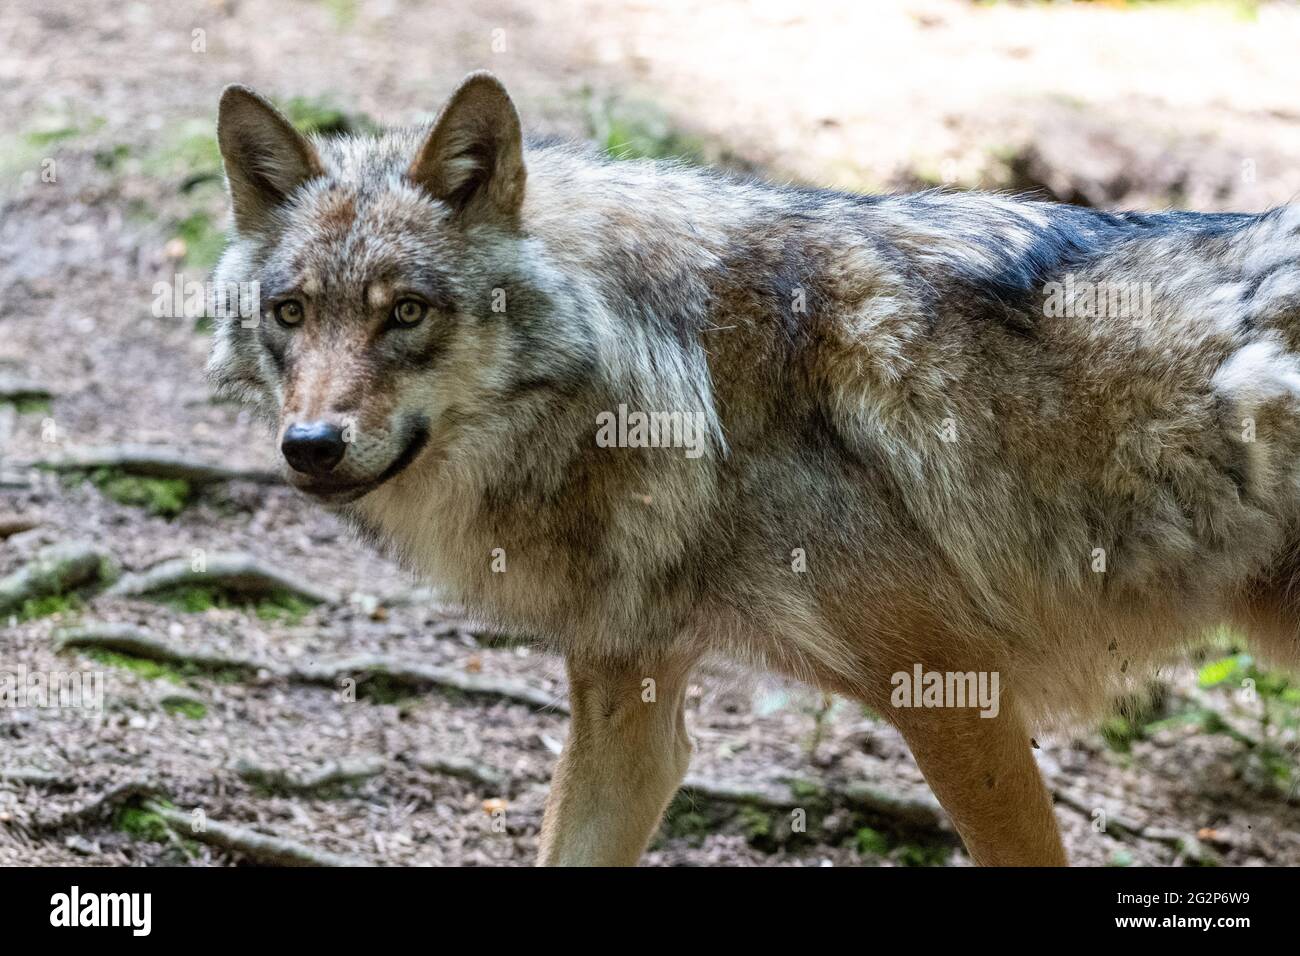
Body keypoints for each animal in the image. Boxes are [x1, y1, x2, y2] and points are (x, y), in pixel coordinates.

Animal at [209, 71, 1300, 866]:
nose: (310, 446)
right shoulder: (628, 709)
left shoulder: (955, 692)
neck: (672, 377)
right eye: (291, 312)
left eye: (405, 312)